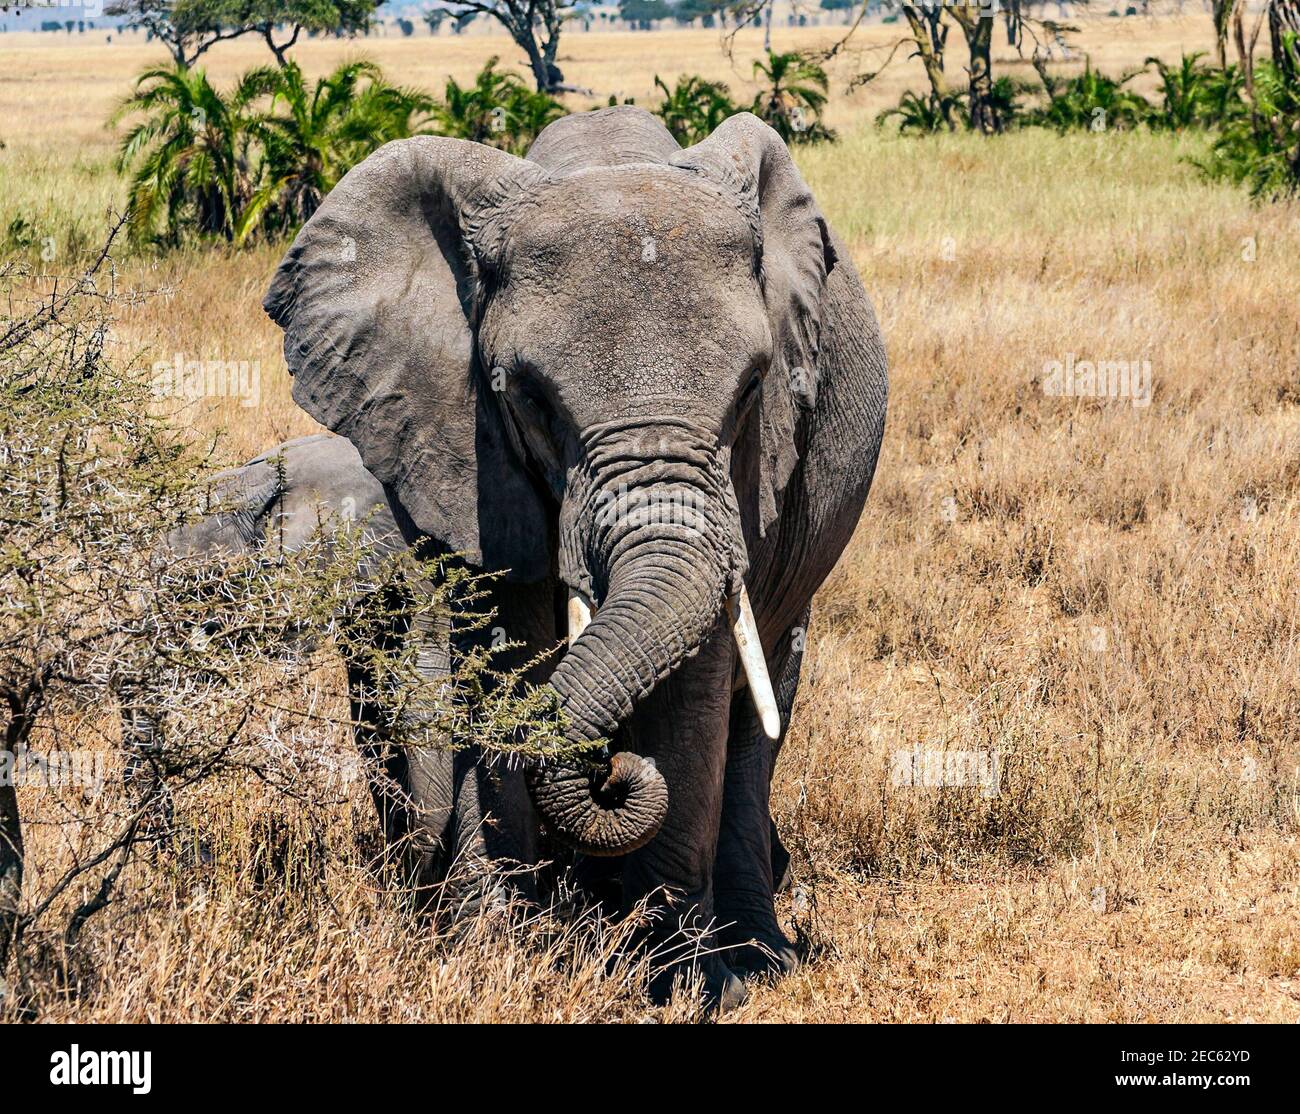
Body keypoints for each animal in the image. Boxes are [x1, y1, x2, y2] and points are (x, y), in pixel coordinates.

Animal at [260, 106, 888, 1008]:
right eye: (525, 396)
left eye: (754, 387)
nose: (612, 774)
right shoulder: (462, 446)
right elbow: (497, 661)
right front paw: (494, 960)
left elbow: (694, 694)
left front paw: (679, 987)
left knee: (761, 702)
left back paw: (754, 954)